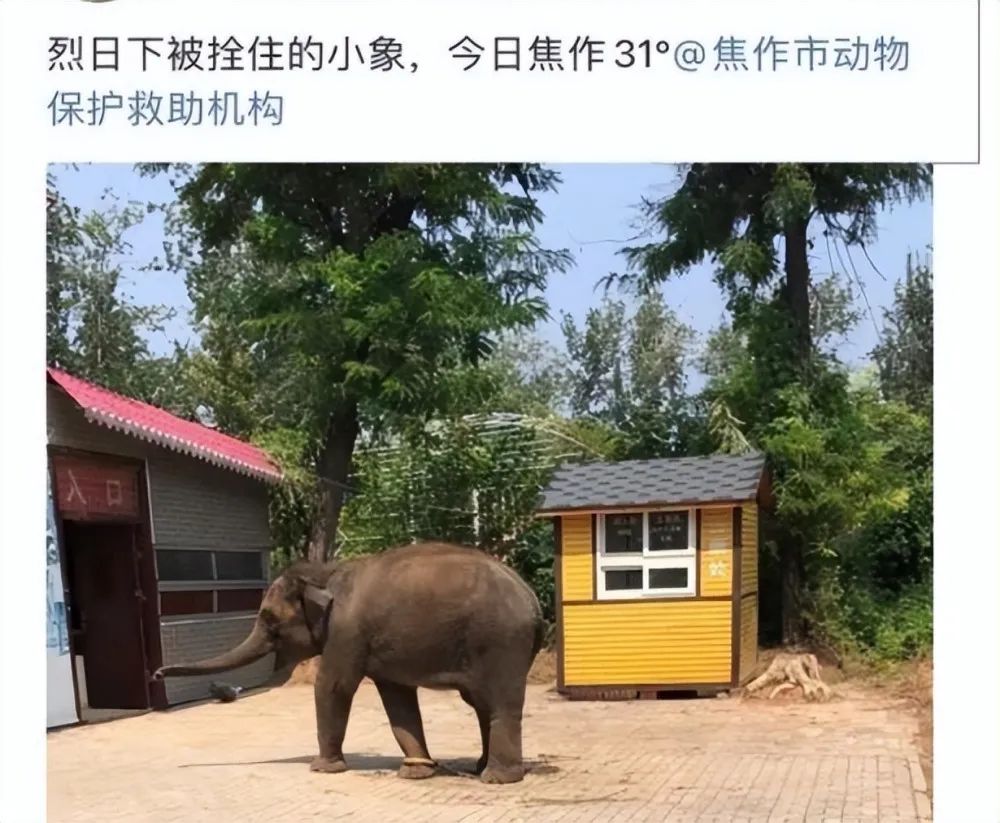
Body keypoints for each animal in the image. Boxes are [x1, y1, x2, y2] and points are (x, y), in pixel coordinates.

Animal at [154, 542, 546, 784]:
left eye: (269, 619)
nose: (157, 673)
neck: (325, 572)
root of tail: (532, 598)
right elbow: (398, 700)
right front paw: (416, 772)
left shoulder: (346, 632)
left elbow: (333, 686)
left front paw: (322, 769)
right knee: (481, 703)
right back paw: (480, 768)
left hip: (501, 642)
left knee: (499, 702)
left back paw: (497, 779)